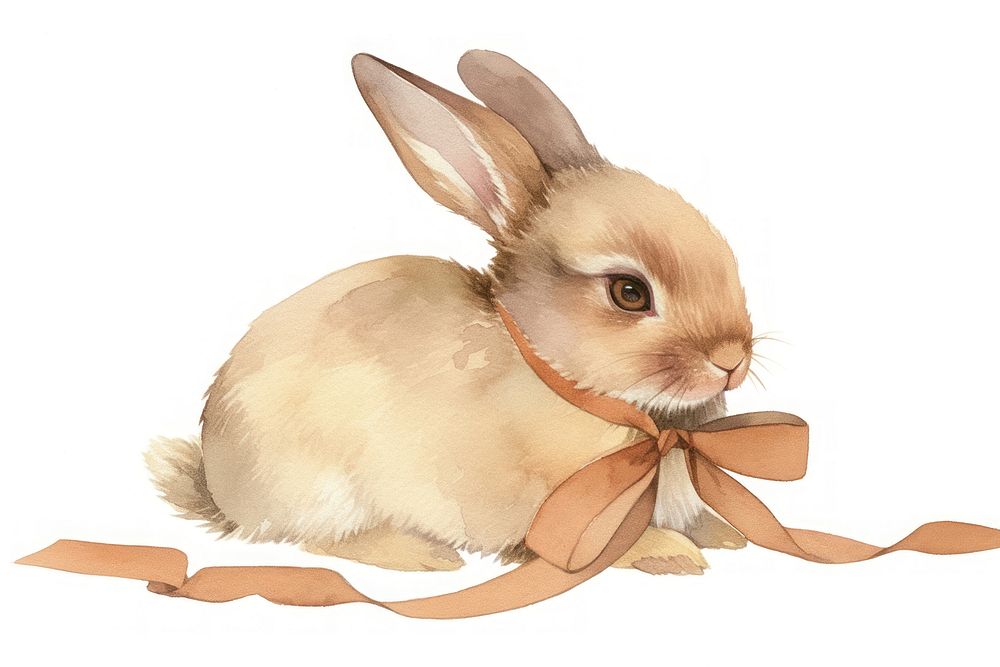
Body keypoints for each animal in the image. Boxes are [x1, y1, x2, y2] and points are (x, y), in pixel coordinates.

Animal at [146, 50, 754, 576]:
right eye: (630, 293)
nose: (732, 360)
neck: (559, 379)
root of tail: (218, 486)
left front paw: (723, 533)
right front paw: (669, 551)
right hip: (321, 485)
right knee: (320, 540)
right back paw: (421, 555)